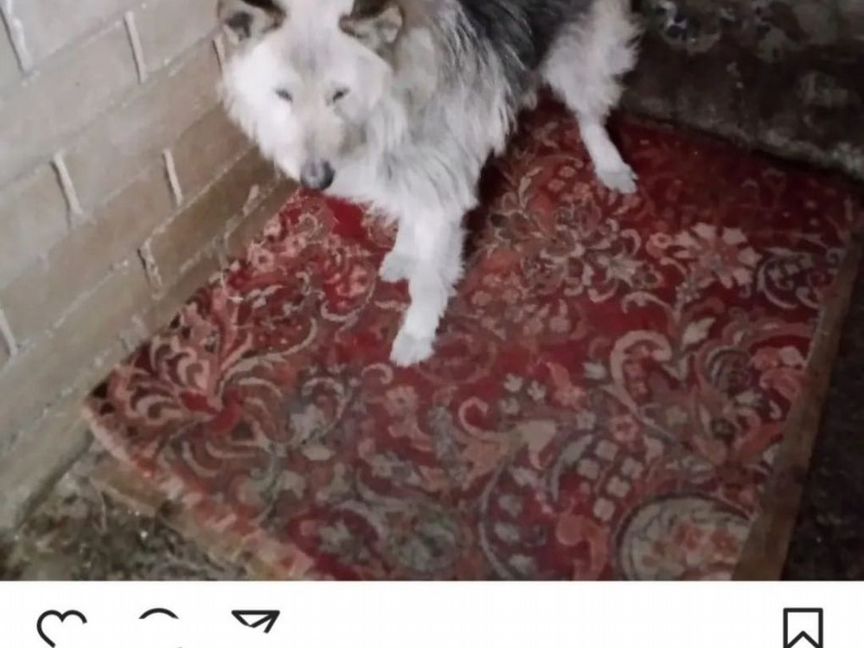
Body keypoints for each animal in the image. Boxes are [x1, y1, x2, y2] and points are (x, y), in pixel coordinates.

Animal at [218, 0, 640, 366]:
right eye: (282, 94)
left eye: (339, 93)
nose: (316, 178)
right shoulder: (420, 172)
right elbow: (410, 217)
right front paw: (405, 252)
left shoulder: (442, 189)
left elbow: (427, 278)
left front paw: (417, 334)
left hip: (582, 57)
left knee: (590, 114)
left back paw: (610, 164)